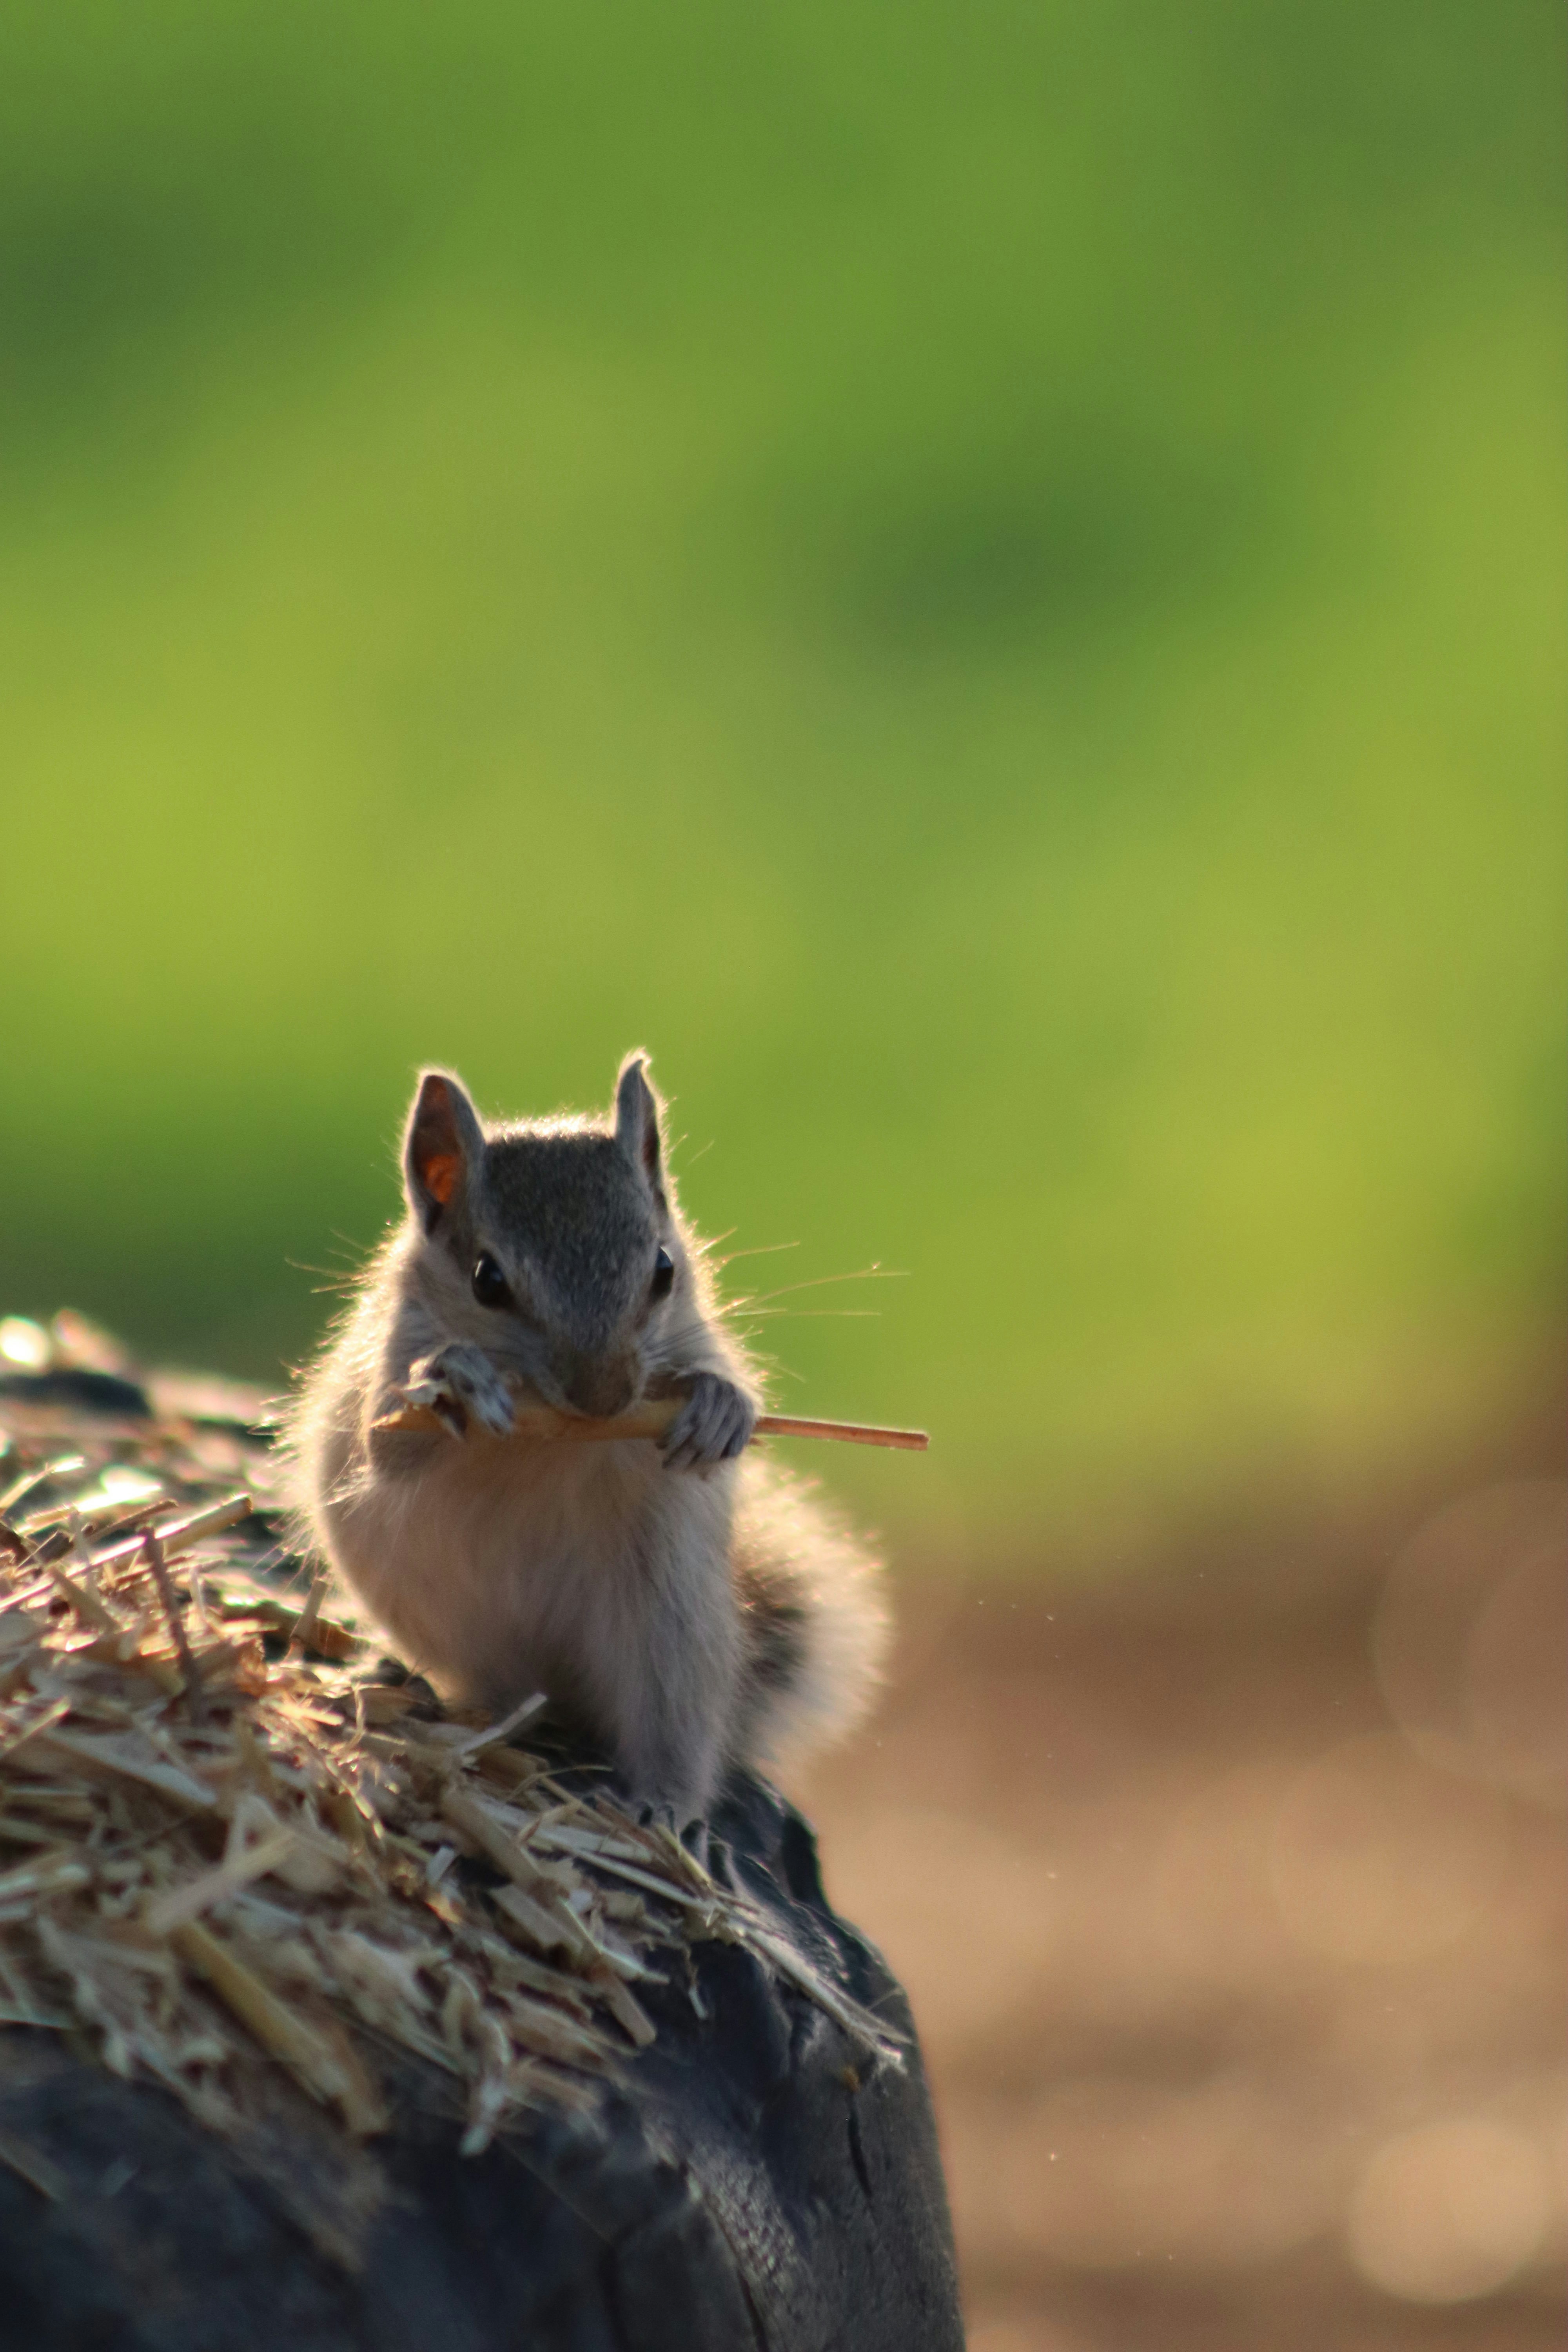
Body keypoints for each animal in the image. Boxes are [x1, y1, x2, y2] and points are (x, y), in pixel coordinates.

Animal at [286, 1055, 888, 1824]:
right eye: (487, 1280)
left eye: (664, 1269)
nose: (604, 1399)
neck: (549, 1438)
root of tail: (564, 1690)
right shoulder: (391, 1365)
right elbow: (384, 1446)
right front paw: (460, 1380)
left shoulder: (695, 1339)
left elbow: (726, 1397)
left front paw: (722, 1408)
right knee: (497, 1697)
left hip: (673, 1634)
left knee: (676, 1731)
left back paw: (664, 1805)